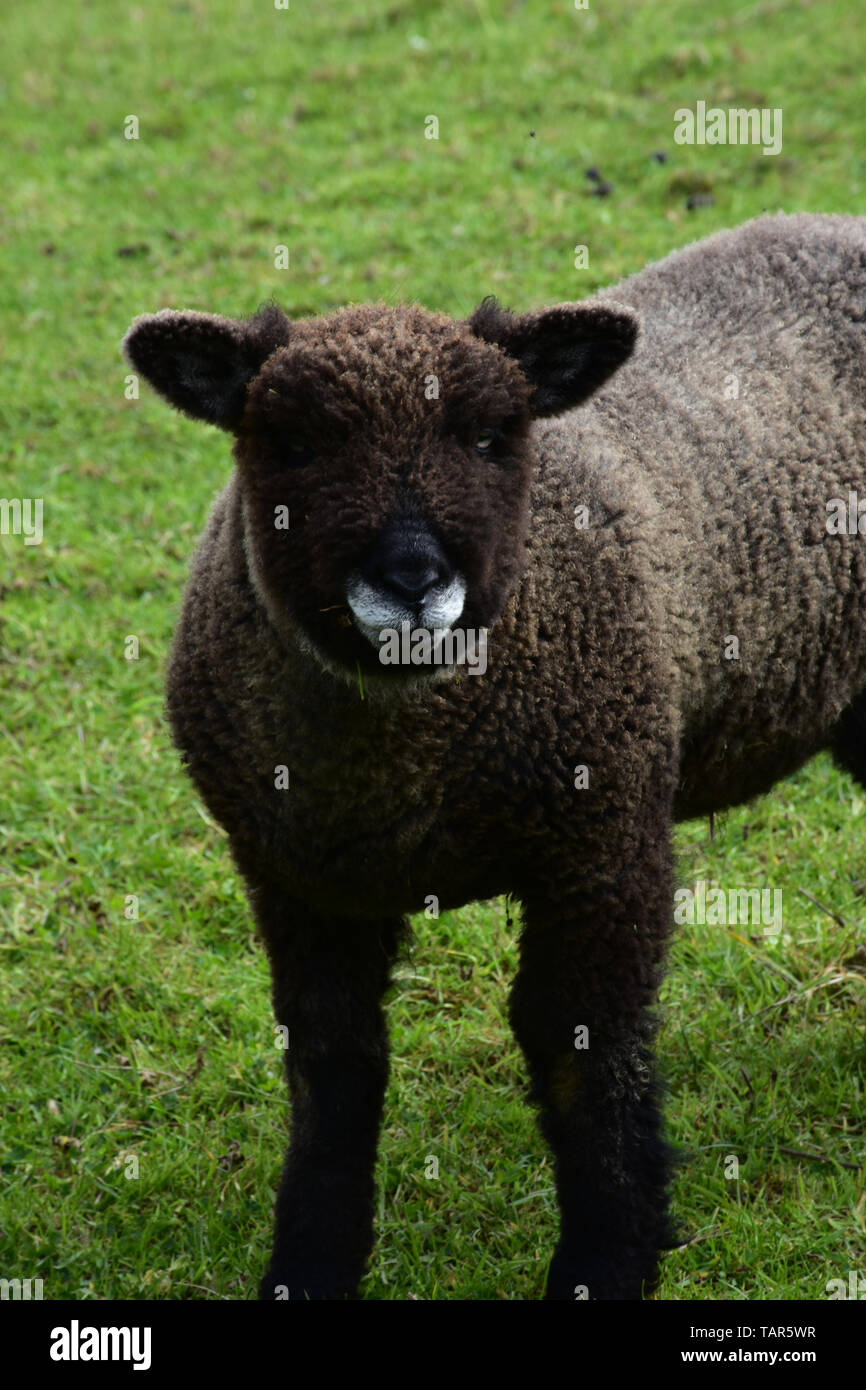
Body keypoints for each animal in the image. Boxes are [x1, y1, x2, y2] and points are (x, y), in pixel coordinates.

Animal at [123, 211, 866, 1300]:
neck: (405, 765)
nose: (410, 580)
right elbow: (331, 1066)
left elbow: (578, 1047)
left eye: (489, 438)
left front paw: (605, 1259)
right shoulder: (293, 875)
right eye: (291, 444)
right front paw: (308, 1262)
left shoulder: (606, 840)